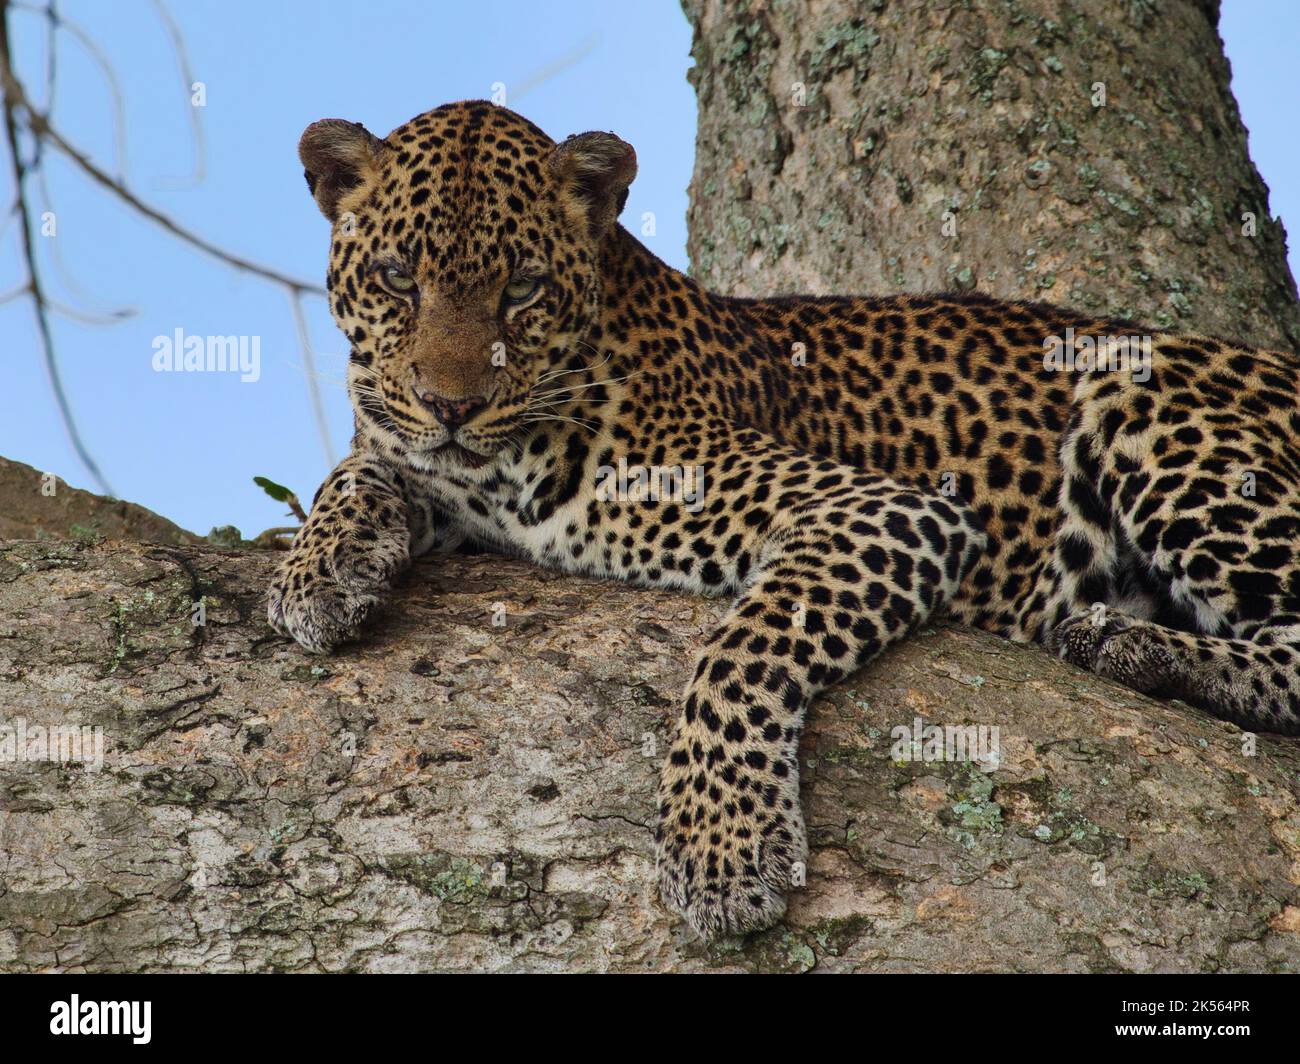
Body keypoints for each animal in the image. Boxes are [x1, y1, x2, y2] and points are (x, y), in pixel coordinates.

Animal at [269, 99, 1300, 941]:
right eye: (396, 277)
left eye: (521, 287)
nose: (451, 403)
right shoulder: (424, 460)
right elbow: (361, 469)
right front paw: (318, 571)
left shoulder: (884, 507)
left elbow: (739, 652)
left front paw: (719, 845)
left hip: (1154, 405)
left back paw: (1129, 643)